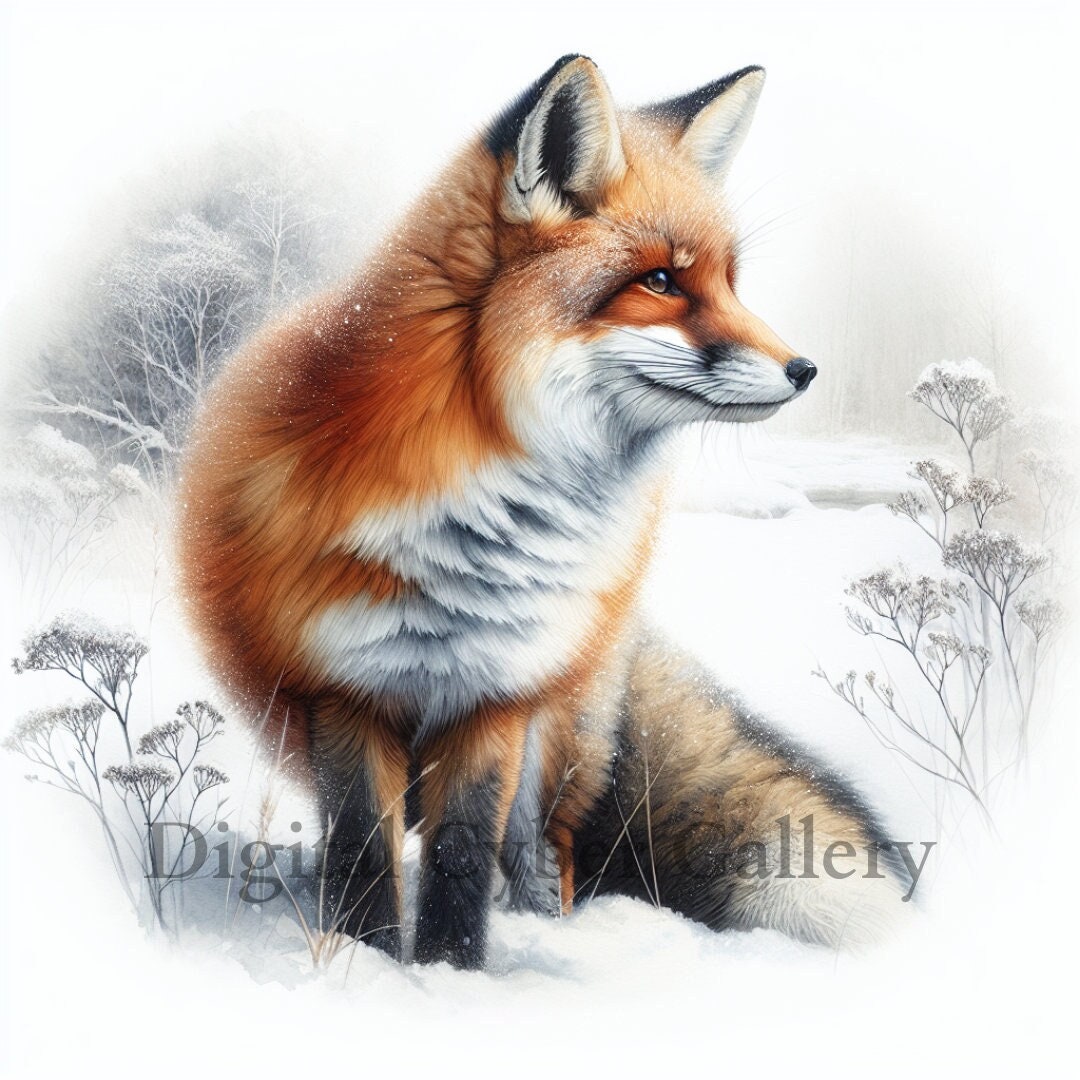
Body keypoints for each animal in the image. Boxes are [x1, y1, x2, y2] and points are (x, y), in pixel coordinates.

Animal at [177, 55, 912, 970]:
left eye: (728, 282)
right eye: (660, 281)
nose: (806, 369)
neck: (480, 533)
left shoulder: (497, 690)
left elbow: (461, 851)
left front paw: (449, 972)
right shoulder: (344, 690)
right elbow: (364, 852)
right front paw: (364, 959)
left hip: (562, 731)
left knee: (543, 848)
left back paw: (543, 930)